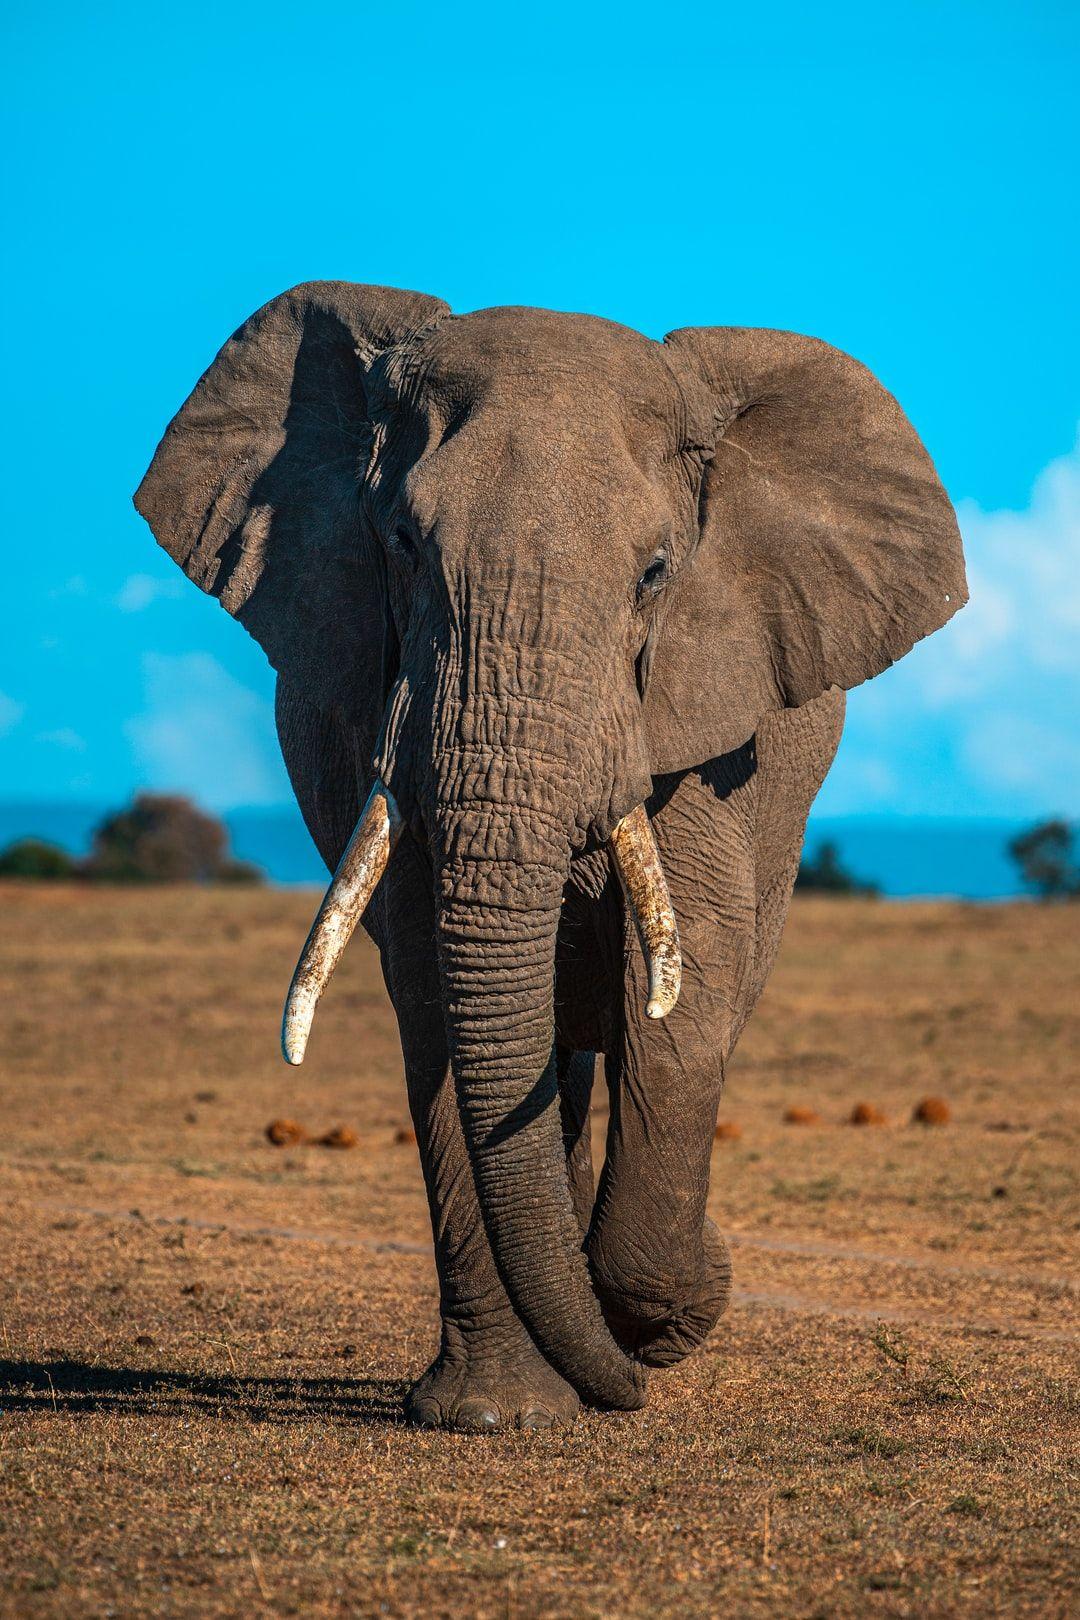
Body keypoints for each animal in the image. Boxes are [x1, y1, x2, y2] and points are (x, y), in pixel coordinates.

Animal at [135, 282, 966, 1431]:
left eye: (656, 573)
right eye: (401, 543)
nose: (630, 1386)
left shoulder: (697, 719)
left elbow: (685, 984)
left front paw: (650, 1322)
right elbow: (438, 994)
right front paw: (499, 1412)